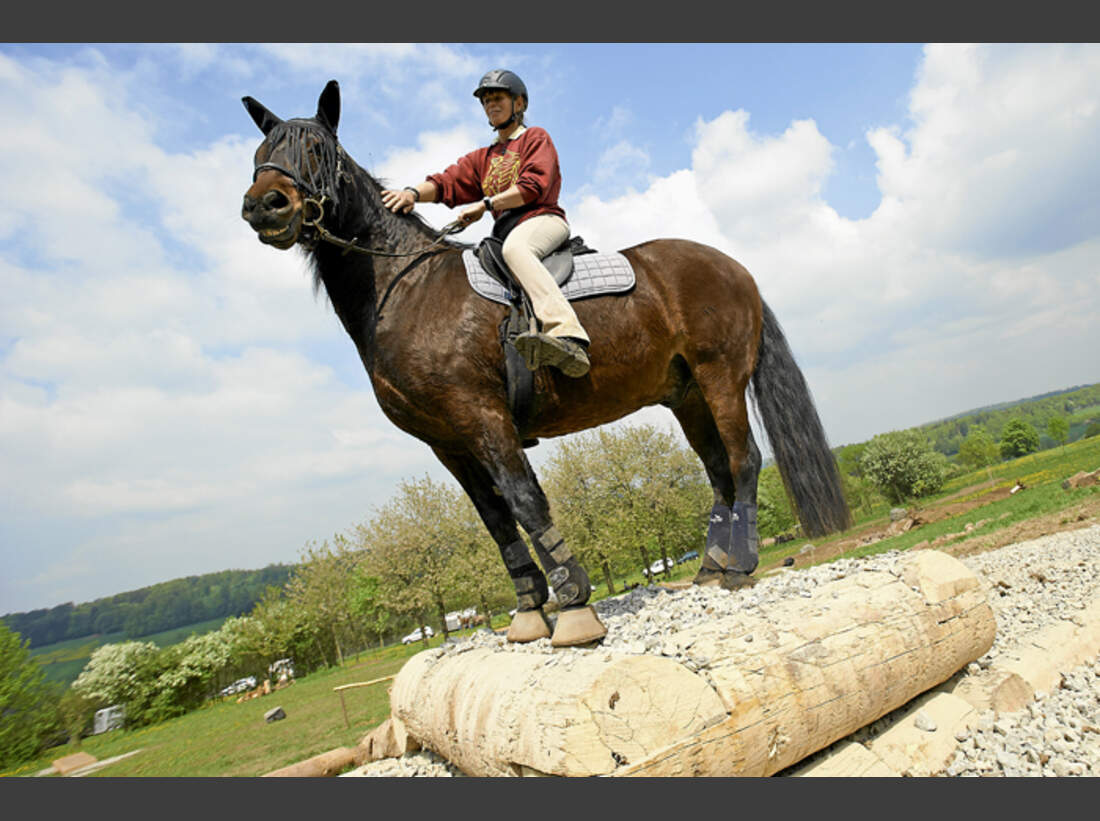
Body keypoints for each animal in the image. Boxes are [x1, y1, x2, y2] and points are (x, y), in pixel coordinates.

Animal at [239, 80, 851, 648]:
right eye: (260, 151)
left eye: (316, 149)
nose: (264, 206)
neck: (408, 286)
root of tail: (732, 267)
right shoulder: (448, 442)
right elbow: (496, 521)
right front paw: (530, 610)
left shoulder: (484, 417)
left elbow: (525, 501)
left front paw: (575, 606)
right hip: (688, 395)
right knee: (719, 471)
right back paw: (710, 568)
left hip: (720, 378)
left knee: (745, 462)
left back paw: (740, 567)